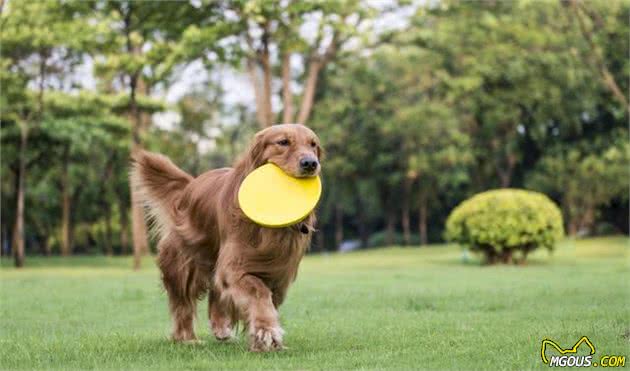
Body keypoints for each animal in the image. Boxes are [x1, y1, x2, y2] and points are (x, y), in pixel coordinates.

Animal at [131, 124, 324, 352]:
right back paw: (187, 338)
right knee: (183, 303)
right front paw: (266, 330)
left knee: (215, 290)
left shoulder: (279, 274)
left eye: (313, 144)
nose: (310, 163)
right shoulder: (234, 265)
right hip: (184, 263)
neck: (268, 229)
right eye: (283, 142)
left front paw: (263, 339)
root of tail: (190, 186)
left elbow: (266, 299)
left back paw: (220, 326)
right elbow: (258, 292)